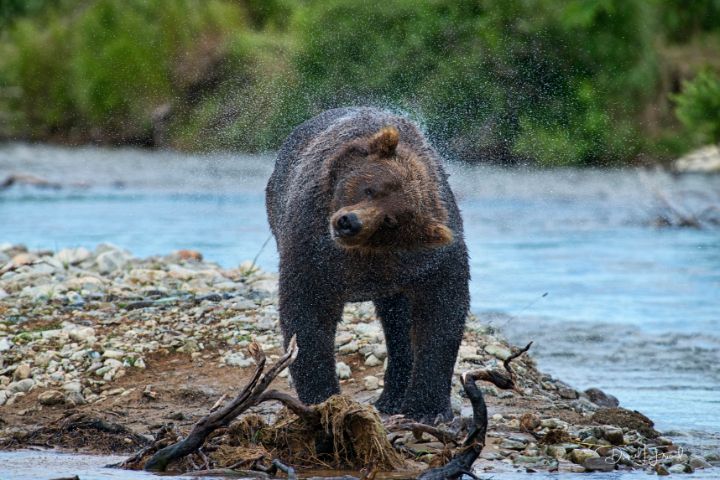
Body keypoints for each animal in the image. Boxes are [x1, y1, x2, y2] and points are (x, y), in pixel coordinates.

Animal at [266, 107, 469, 422]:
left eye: (390, 220)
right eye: (370, 188)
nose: (348, 222)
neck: (366, 256)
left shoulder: (429, 259)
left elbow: (442, 310)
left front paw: (426, 408)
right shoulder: (312, 244)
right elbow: (307, 310)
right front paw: (322, 397)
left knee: (398, 323)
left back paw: (392, 398)